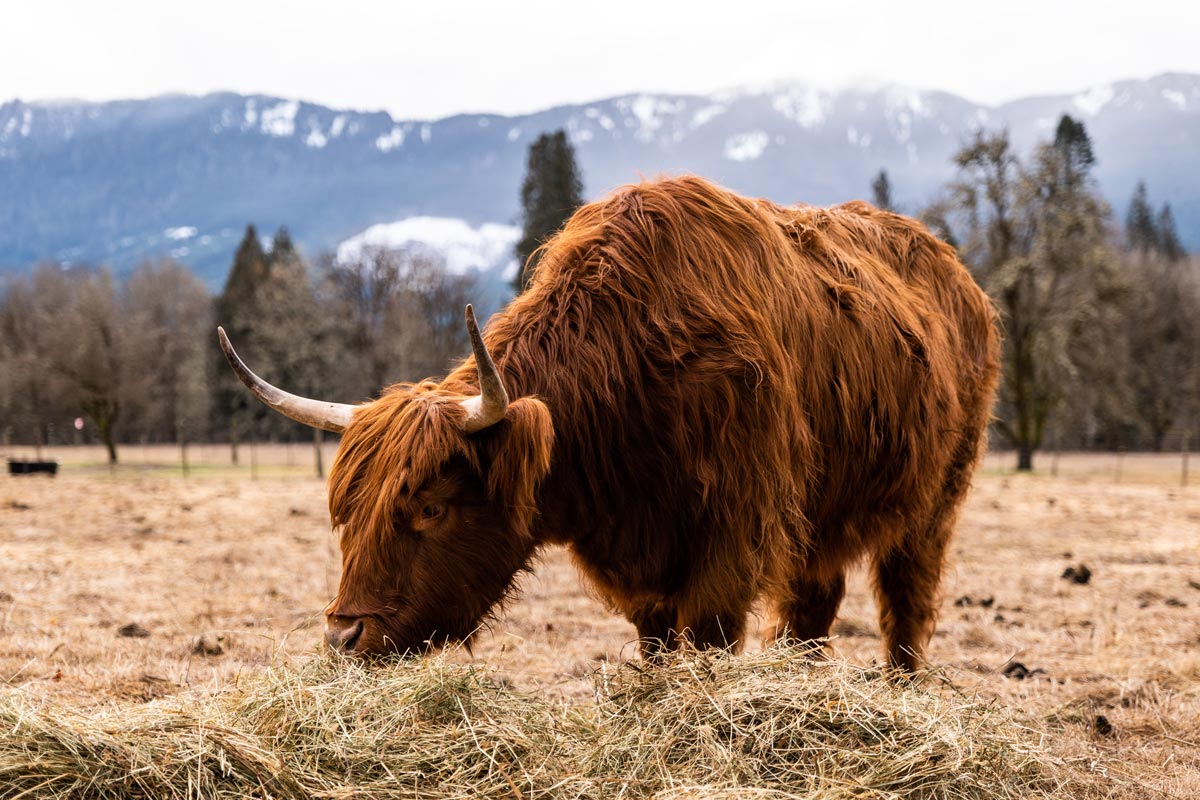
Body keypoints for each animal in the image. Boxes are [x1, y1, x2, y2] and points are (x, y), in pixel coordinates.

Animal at [219, 175, 1000, 671]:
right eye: (344, 512)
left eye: (432, 509)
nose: (344, 637)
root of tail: (956, 272)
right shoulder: (647, 560)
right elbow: (657, 642)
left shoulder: (734, 534)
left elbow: (708, 641)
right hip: (825, 510)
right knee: (815, 605)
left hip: (933, 505)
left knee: (906, 607)